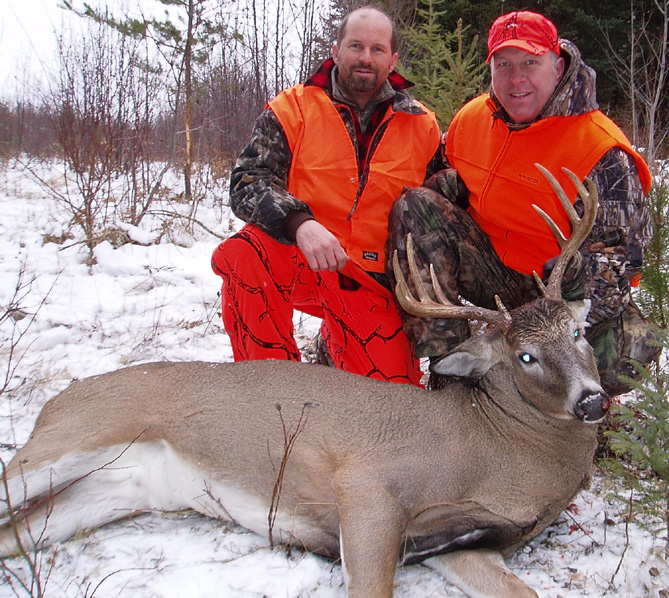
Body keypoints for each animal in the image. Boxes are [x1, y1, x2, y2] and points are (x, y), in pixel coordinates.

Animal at [0, 165, 608, 598]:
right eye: (525, 356)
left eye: (578, 331)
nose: (592, 401)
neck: (492, 455)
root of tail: (56, 400)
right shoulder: (367, 482)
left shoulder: (459, 544)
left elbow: (523, 593)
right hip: (72, 438)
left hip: (102, 494)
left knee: (16, 533)